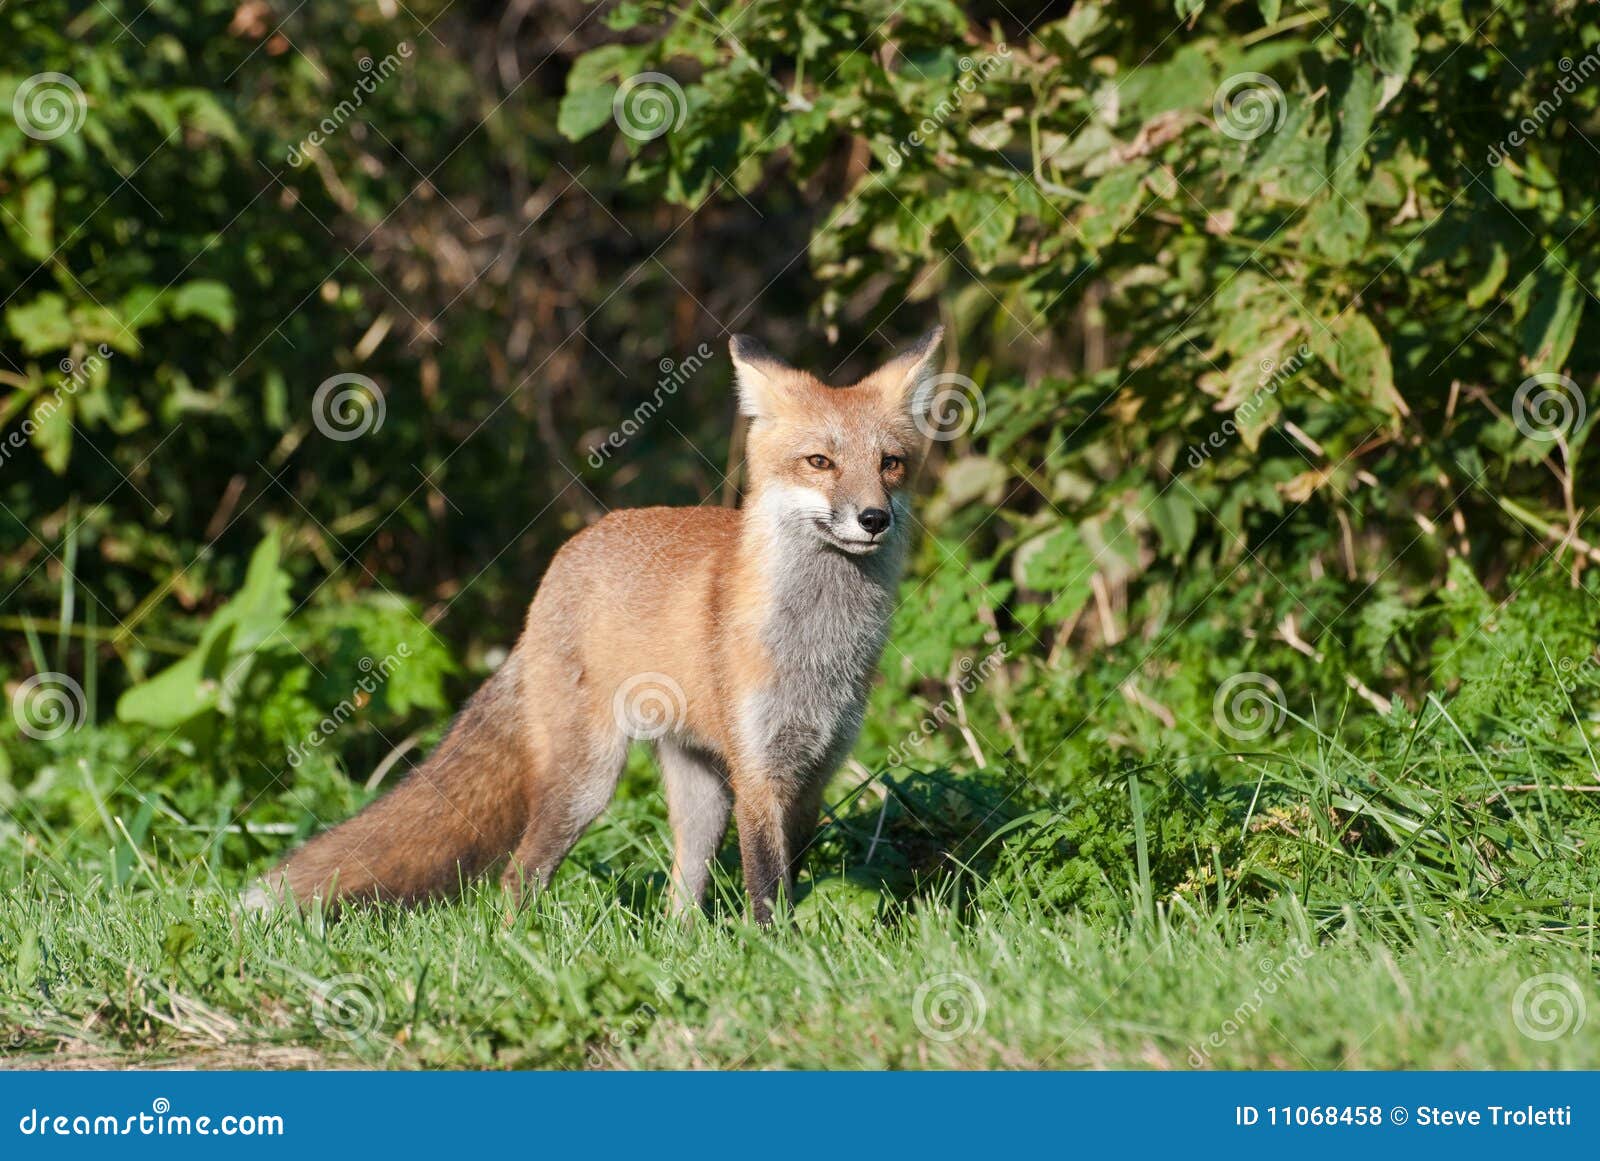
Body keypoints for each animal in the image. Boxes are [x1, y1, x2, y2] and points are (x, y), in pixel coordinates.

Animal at [259, 326, 945, 924]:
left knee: (679, 894)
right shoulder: (758, 774)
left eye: (890, 464)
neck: (819, 643)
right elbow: (766, 887)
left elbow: (790, 878)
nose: (874, 518)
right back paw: (521, 945)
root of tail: (565, 559)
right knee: (518, 876)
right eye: (819, 461)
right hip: (586, 783)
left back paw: (681, 947)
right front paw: (776, 952)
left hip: (701, 794)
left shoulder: (815, 771)